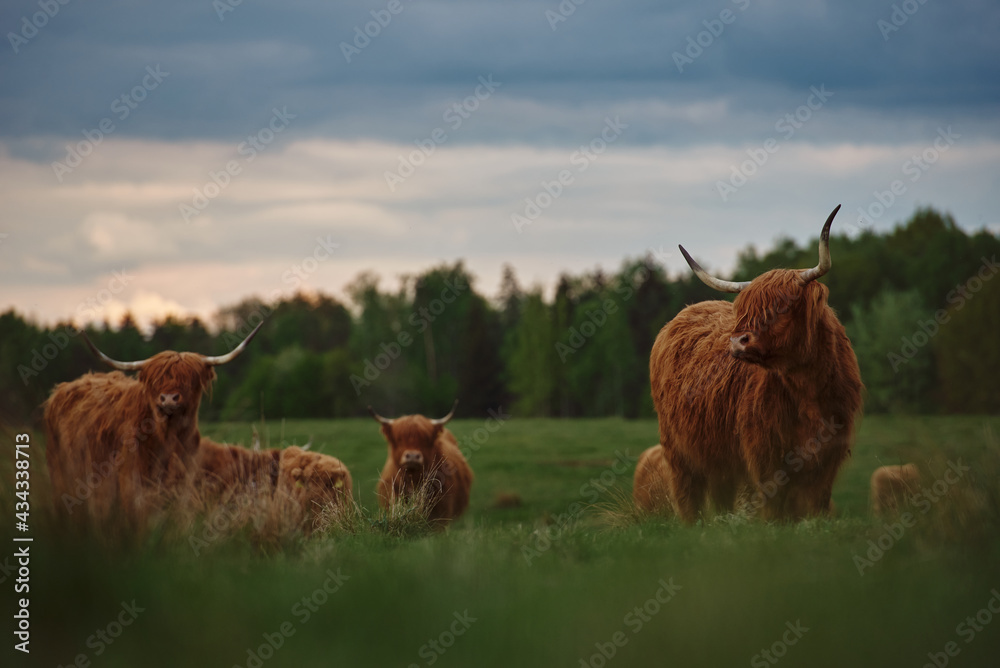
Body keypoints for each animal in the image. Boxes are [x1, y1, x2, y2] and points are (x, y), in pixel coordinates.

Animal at [43, 323, 262, 529]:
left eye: (189, 380)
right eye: (157, 381)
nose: (169, 398)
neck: (168, 437)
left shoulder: (184, 483)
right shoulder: (132, 484)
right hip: (60, 473)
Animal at [650, 205, 863, 523]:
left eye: (783, 306)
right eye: (745, 309)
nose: (738, 341)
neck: (808, 390)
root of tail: (685, 312)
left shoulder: (829, 456)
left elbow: (815, 505)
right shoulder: (766, 455)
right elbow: (774, 508)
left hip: (719, 459)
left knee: (721, 495)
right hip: (678, 451)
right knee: (688, 495)